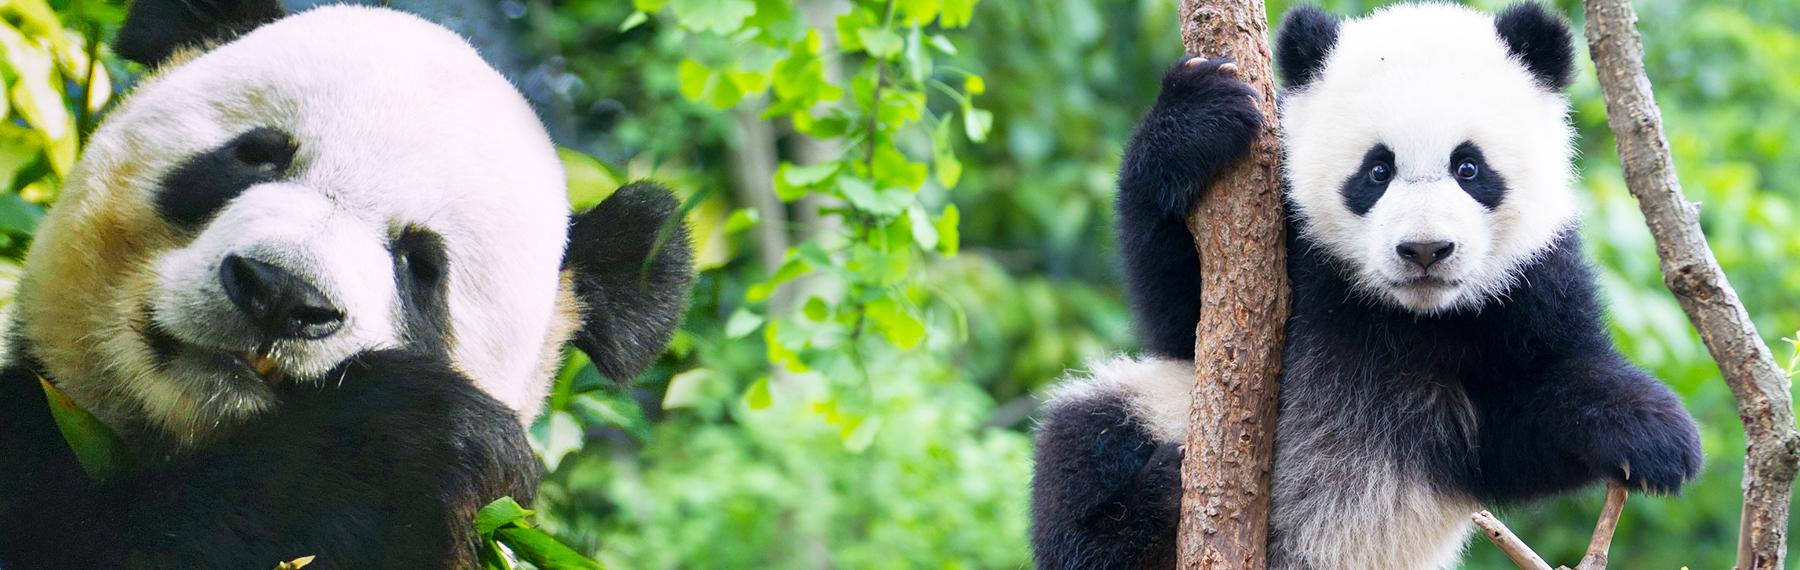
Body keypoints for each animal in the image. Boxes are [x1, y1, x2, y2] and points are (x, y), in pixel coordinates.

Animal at [1030, 3, 1704, 569]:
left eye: (1469, 167)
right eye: (1377, 170)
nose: (1425, 250)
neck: (1404, 314)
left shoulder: (1530, 283)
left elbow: (1523, 421)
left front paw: (1653, 433)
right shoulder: (1287, 246)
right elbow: (1177, 314)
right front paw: (1196, 115)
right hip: (1159, 409)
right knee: (1080, 444)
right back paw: (1143, 513)